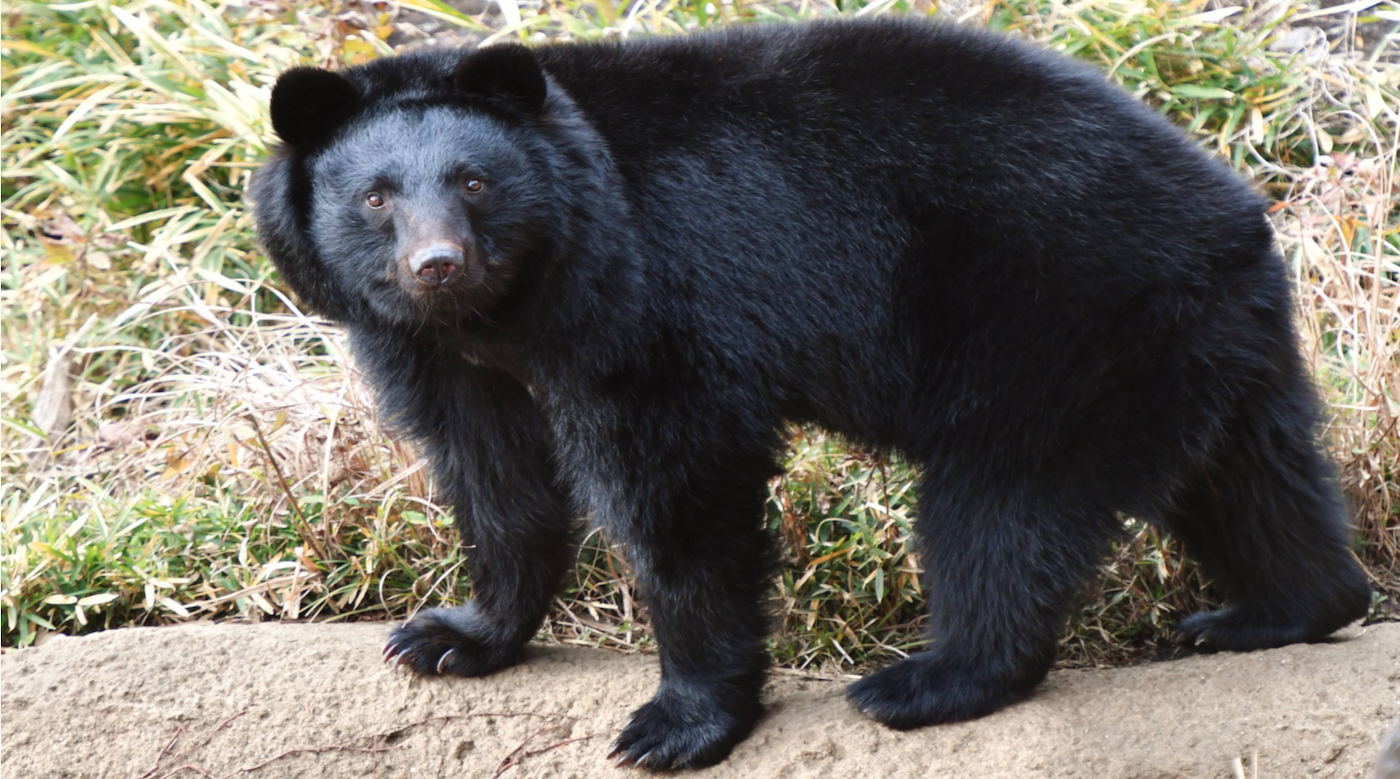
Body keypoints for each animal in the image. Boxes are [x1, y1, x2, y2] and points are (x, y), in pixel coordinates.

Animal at [251, 18, 1371, 770]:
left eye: (475, 183)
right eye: (376, 197)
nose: (437, 265)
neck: (519, 301)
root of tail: (1238, 216)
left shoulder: (653, 300)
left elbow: (677, 489)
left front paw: (674, 721)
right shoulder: (434, 349)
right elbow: (494, 476)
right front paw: (451, 636)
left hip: (1056, 330)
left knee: (1002, 507)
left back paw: (928, 680)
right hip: (1199, 345)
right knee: (1252, 479)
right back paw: (1277, 608)